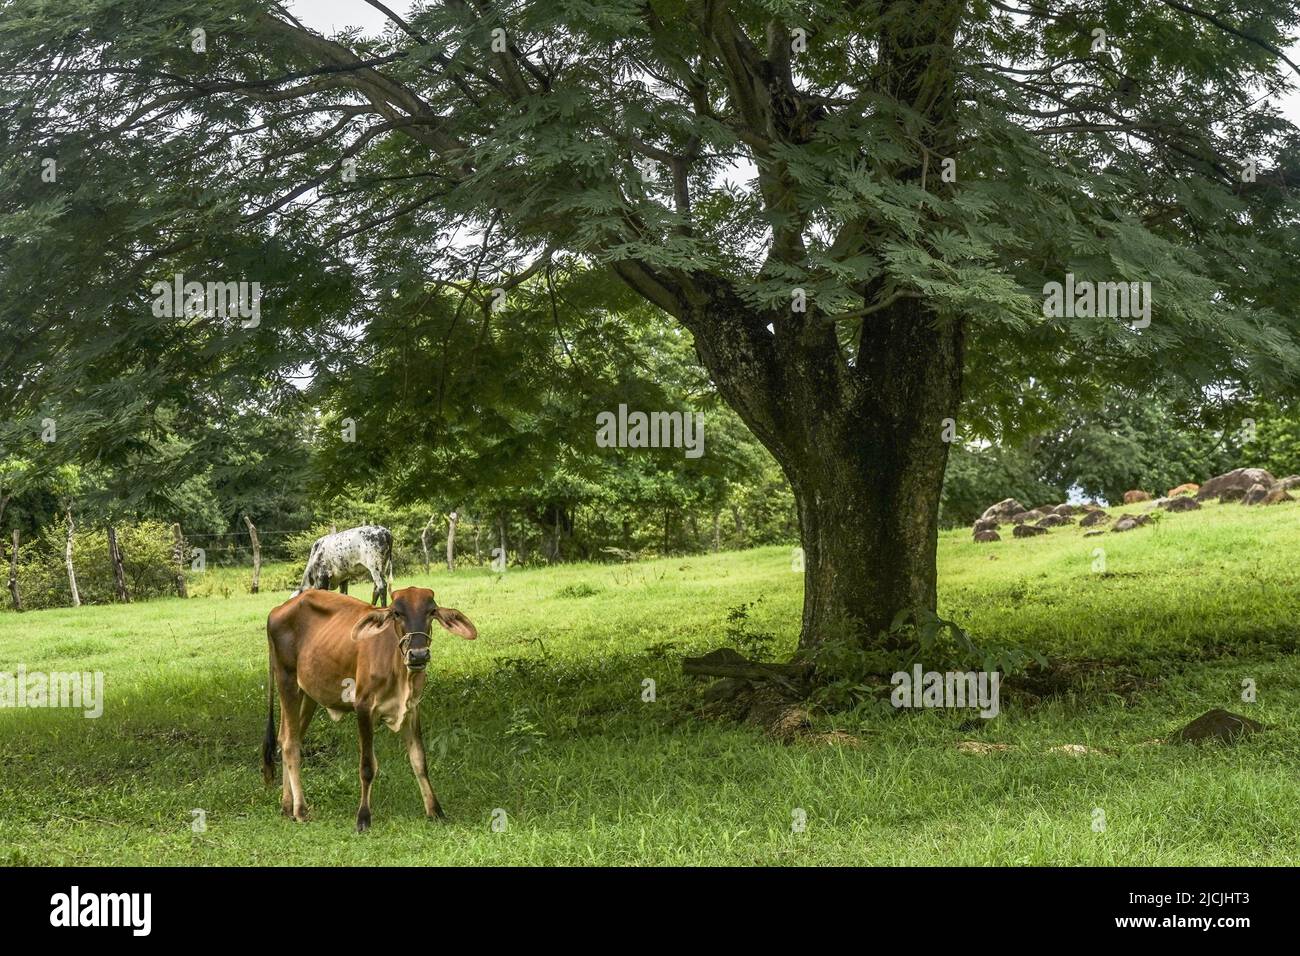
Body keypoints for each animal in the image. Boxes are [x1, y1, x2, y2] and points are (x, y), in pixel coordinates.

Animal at [262, 586, 478, 831]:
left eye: (431, 611)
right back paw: (300, 810)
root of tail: (277, 610)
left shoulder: (412, 710)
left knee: (287, 738)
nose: (418, 654)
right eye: (396, 613)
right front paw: (363, 817)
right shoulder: (363, 707)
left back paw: (286, 806)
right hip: (286, 680)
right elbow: (367, 767)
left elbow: (419, 761)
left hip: (307, 694)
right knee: (290, 743)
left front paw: (435, 810)